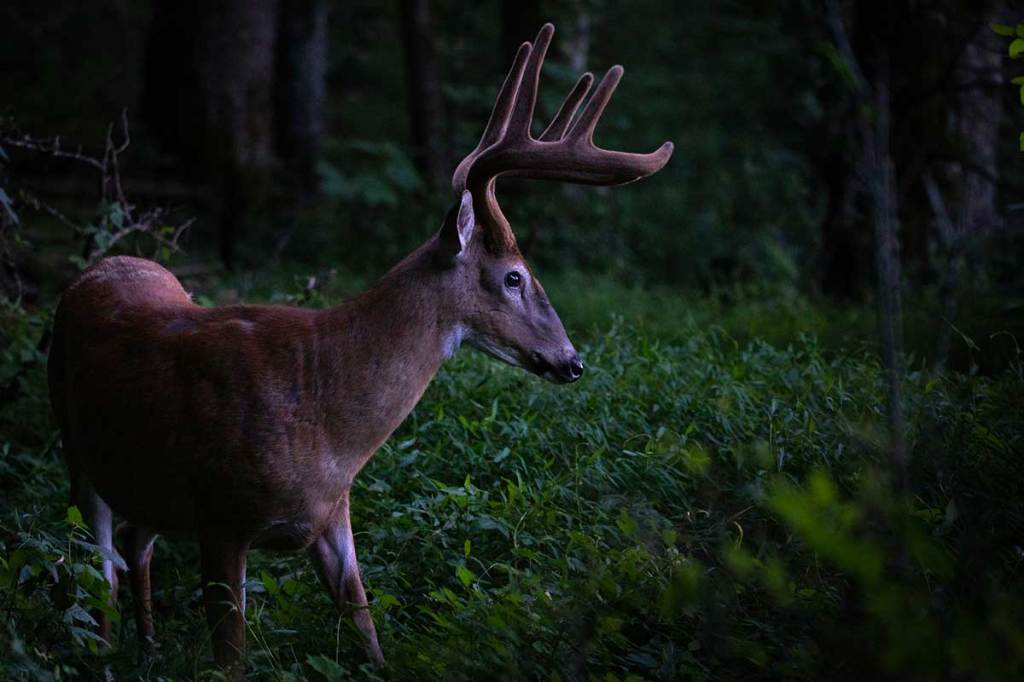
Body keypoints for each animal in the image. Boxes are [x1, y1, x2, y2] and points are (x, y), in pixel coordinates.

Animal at [46, 23, 672, 675]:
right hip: (75, 447)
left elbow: (368, 635)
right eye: (514, 277)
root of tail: (96, 269)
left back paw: (147, 650)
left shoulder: (333, 515)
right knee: (100, 569)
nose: (573, 361)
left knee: (135, 547)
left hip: (146, 482)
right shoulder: (220, 517)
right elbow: (231, 659)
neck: (323, 420)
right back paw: (105, 655)